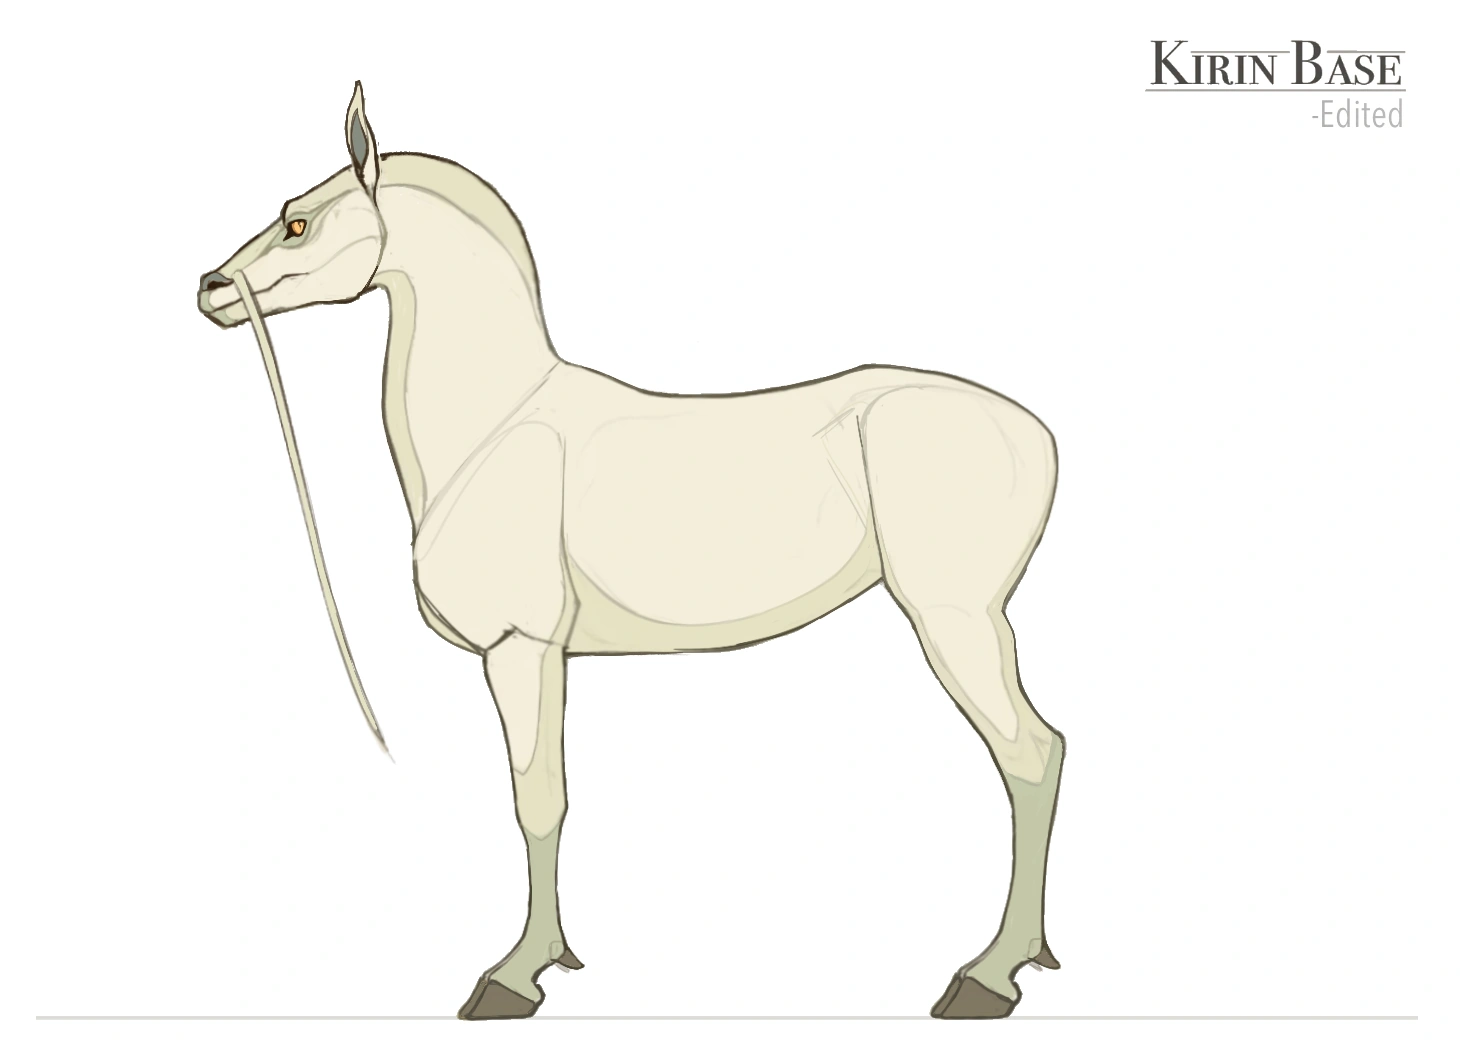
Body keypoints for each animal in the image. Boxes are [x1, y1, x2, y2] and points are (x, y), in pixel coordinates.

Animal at [197, 83, 1066, 1020]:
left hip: (955, 620)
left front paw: (517, 975)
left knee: (1031, 756)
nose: (209, 288)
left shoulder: (522, 650)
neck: (496, 423)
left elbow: (538, 802)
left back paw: (989, 976)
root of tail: (1038, 433)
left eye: (297, 220)